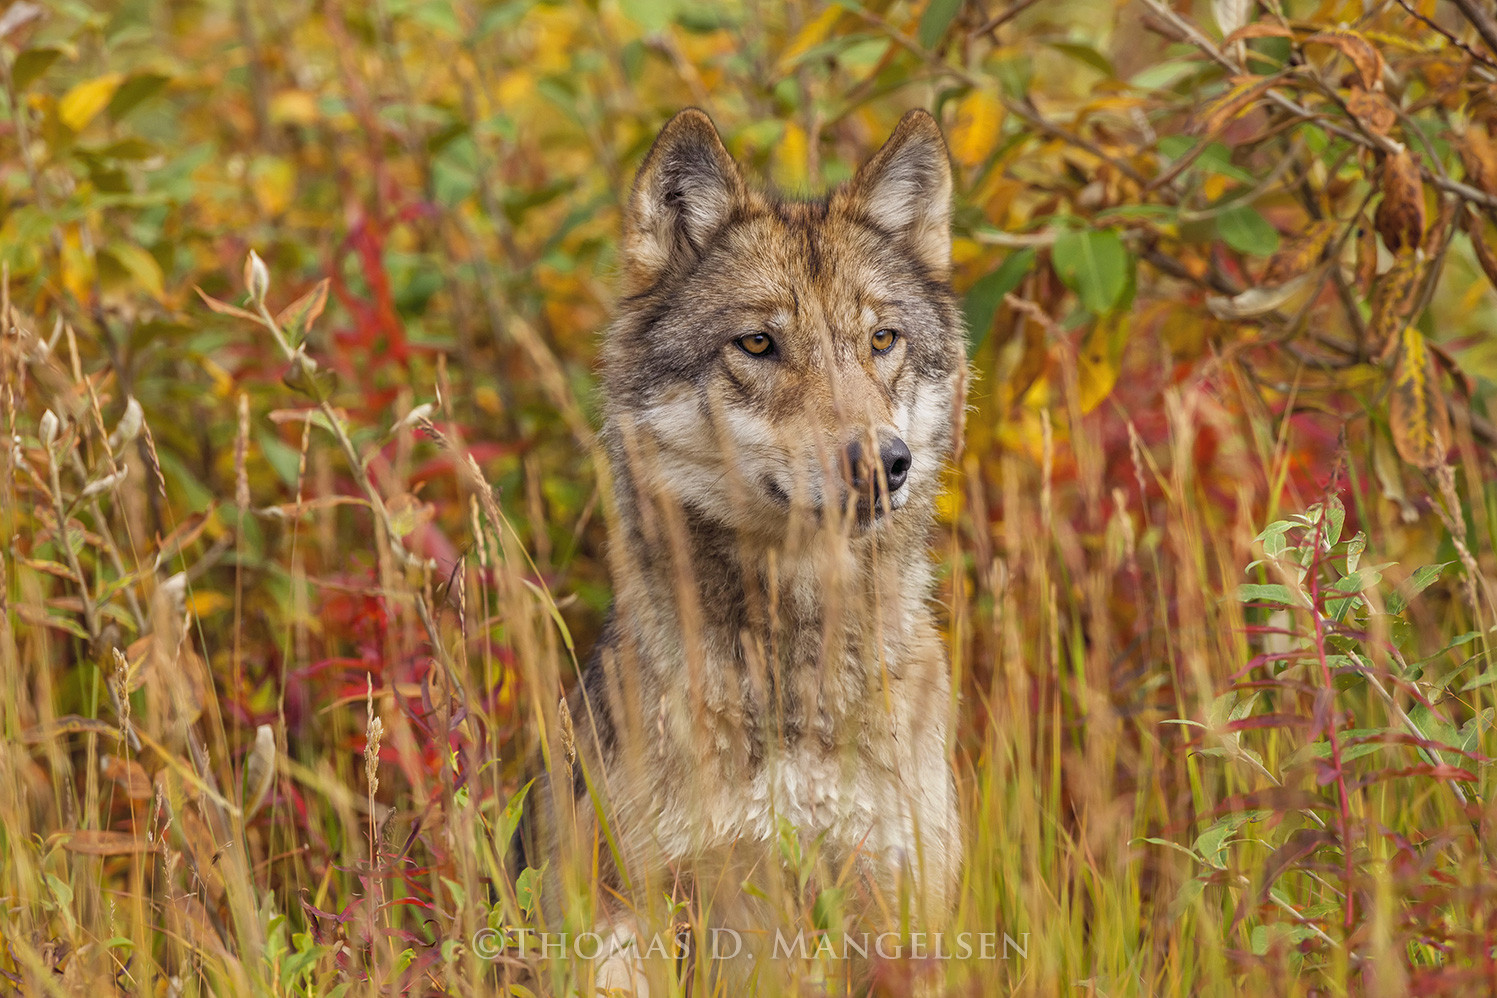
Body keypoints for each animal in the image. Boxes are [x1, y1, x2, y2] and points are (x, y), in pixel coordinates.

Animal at [515, 107, 967, 993]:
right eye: (757, 344)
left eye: (882, 339)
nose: (883, 463)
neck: (791, 687)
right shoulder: (640, 910)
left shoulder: (901, 915)